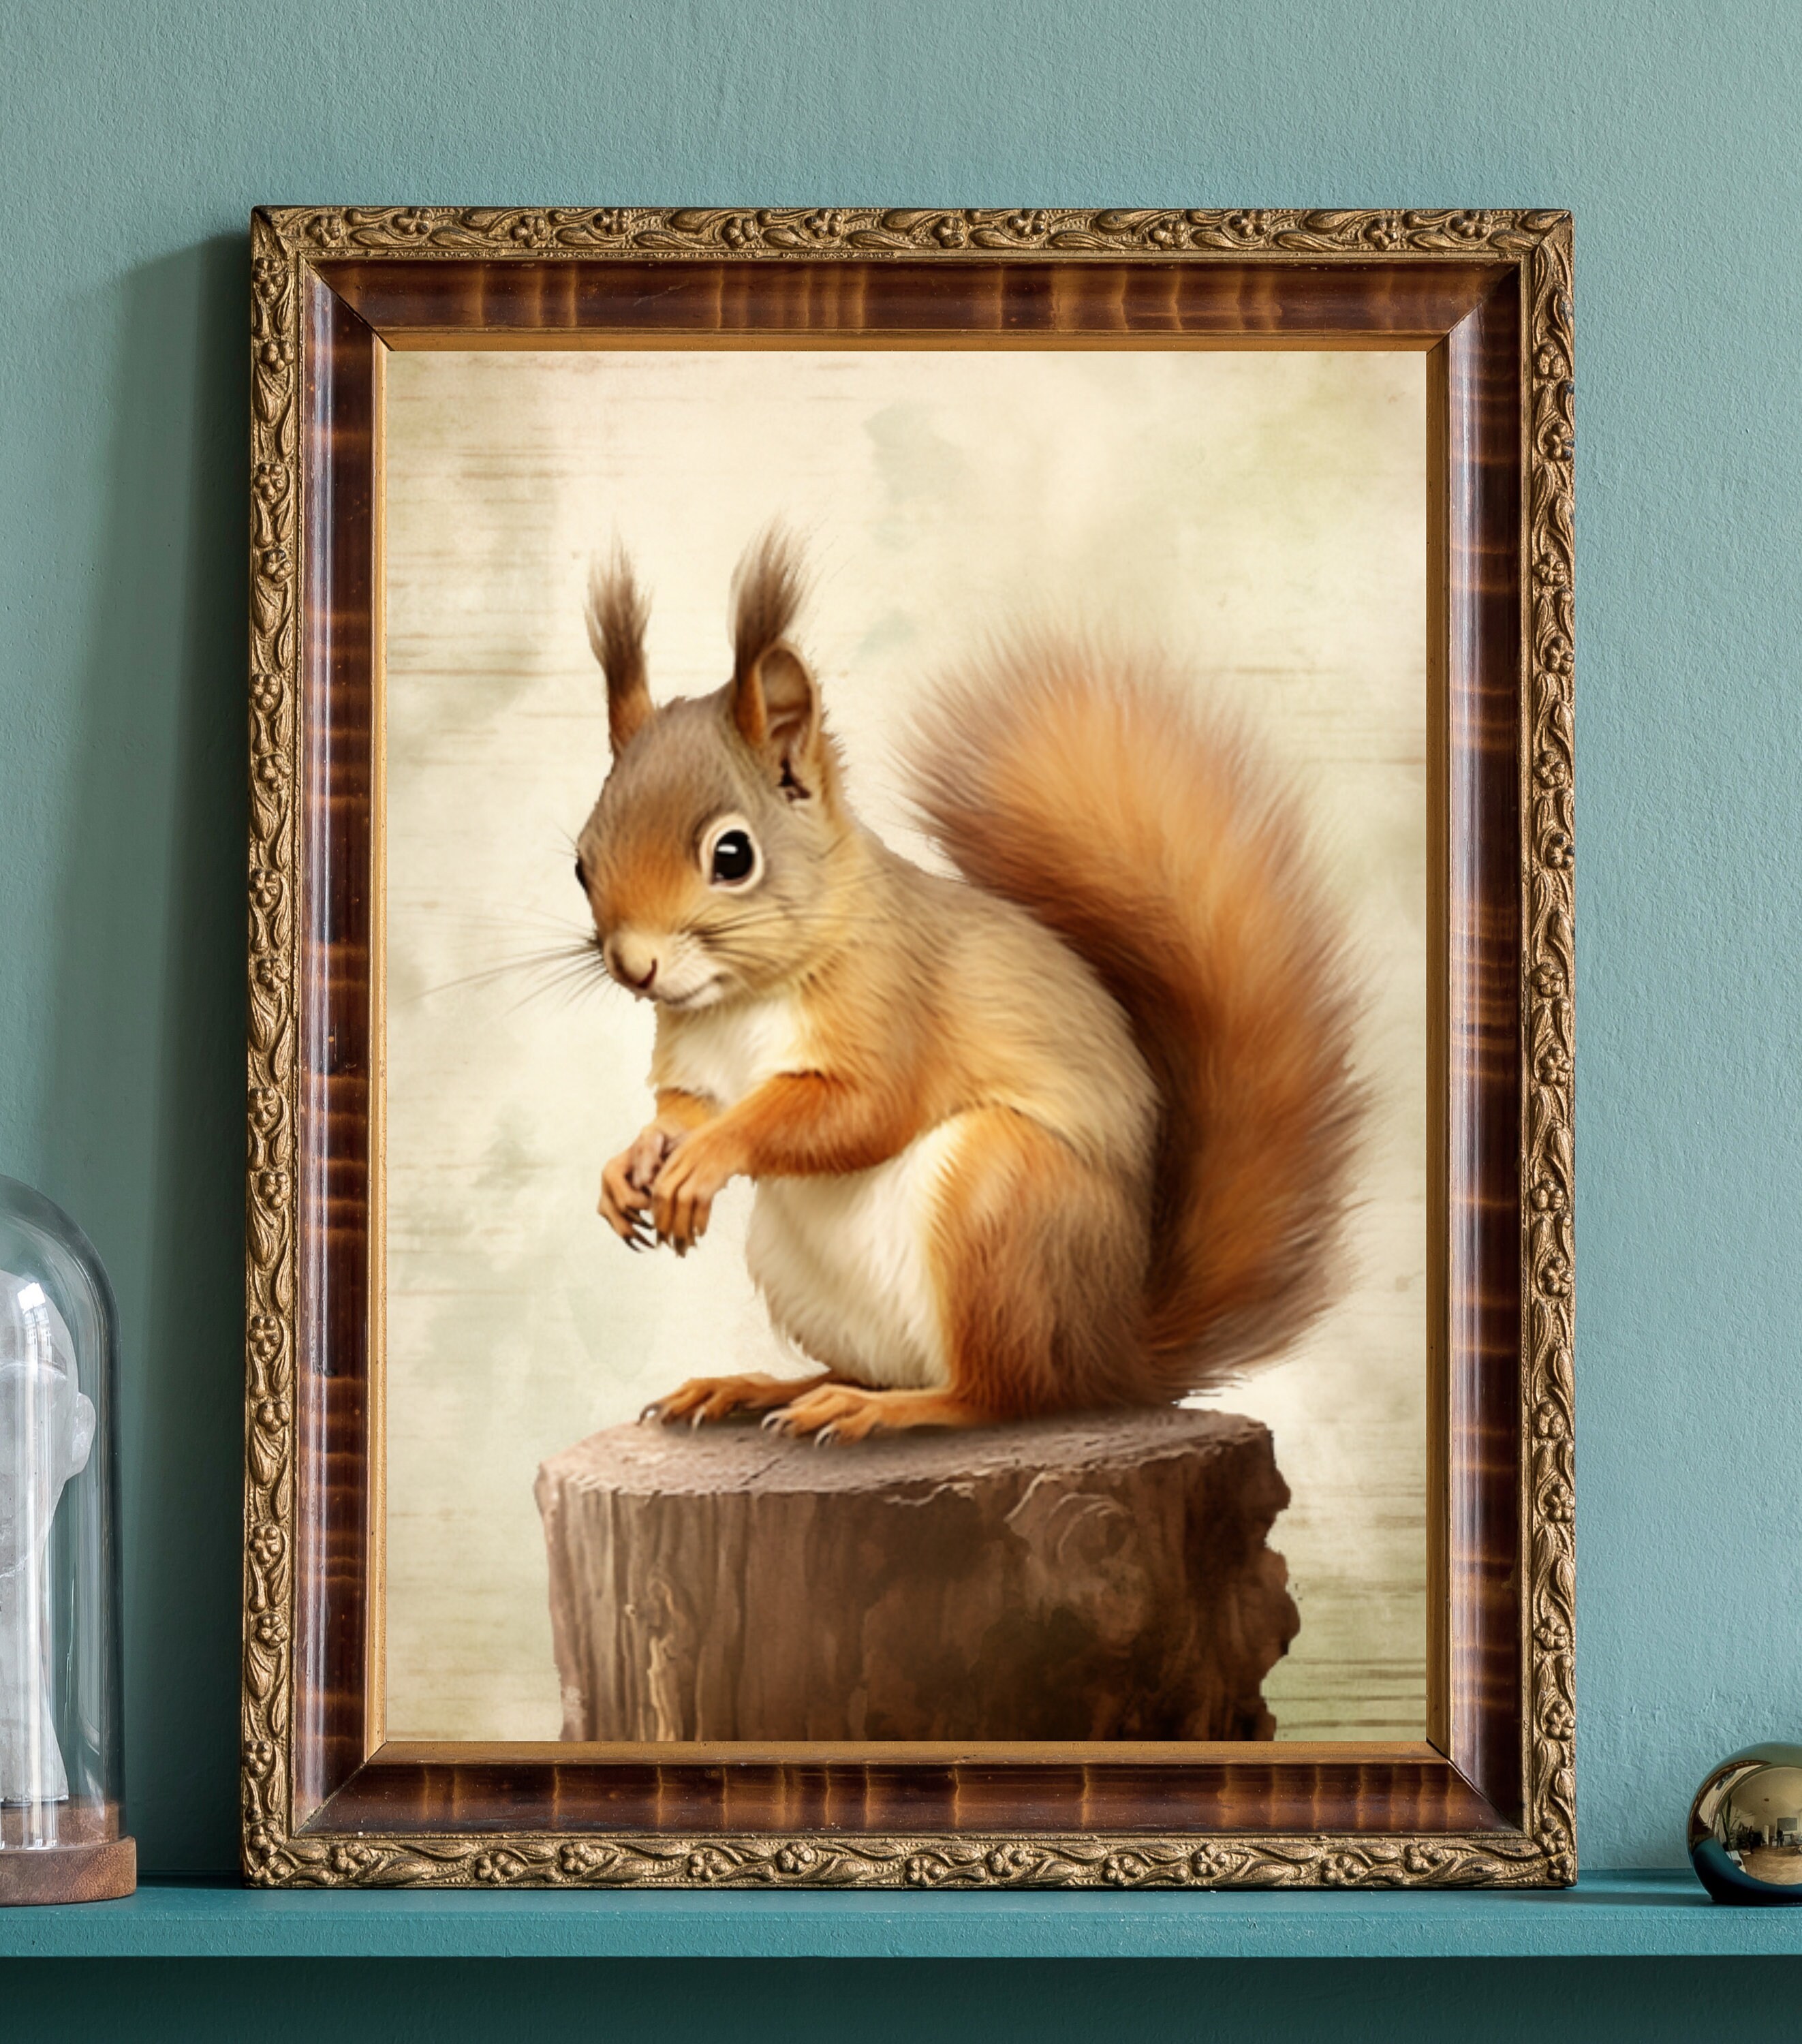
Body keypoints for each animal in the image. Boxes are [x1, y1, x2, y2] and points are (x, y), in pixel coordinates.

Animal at [574, 531, 1360, 1444]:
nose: (634, 966)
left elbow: (855, 1112)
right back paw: (761, 1388)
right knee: (871, 1366)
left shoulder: (894, 1005)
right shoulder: (694, 1064)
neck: (740, 998)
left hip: (999, 1201)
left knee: (999, 1393)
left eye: (731, 856)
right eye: (582, 861)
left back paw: (884, 1410)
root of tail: (1112, 1356)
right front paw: (632, 1163)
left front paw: (702, 1161)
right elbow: (682, 1108)